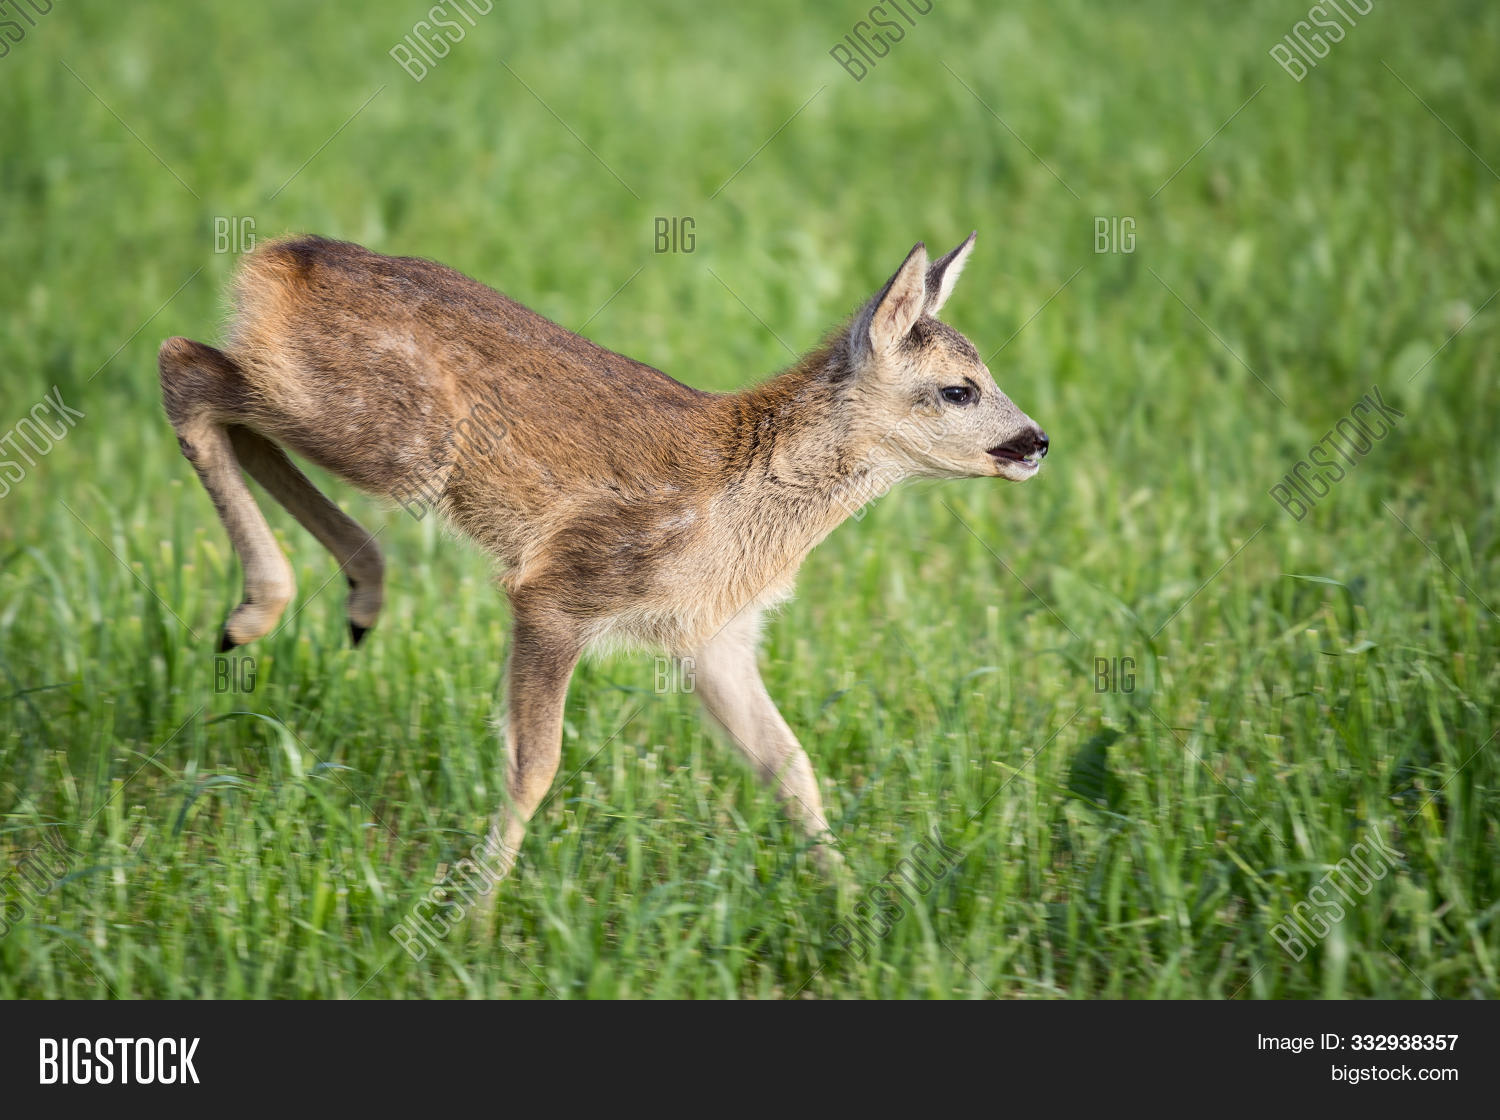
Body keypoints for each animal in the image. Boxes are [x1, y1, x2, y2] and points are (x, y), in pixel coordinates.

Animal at [158, 231, 1048, 880]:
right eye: (959, 388)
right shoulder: (561, 587)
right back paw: (259, 610)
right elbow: (534, 766)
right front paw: (474, 912)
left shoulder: (714, 637)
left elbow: (790, 765)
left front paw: (850, 901)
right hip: (391, 435)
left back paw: (349, 592)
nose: (1037, 441)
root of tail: (280, 254)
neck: (737, 508)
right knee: (186, 364)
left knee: (228, 403)